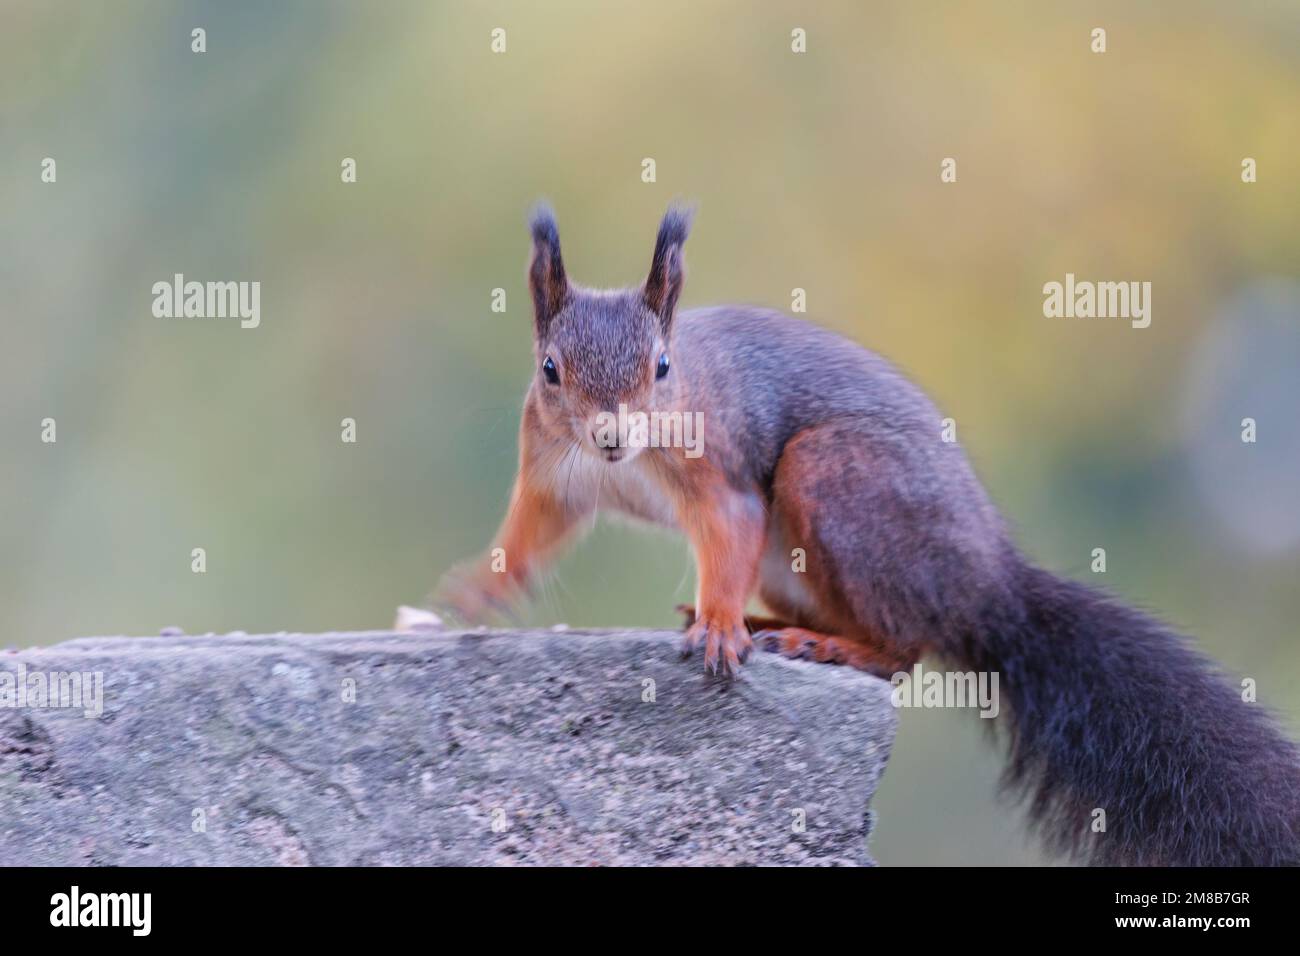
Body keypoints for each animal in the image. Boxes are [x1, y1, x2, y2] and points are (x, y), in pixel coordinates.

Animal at [440, 202, 1300, 867]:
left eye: (661, 368)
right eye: (551, 370)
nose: (614, 436)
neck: (615, 465)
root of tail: (991, 587)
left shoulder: (715, 463)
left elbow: (729, 528)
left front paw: (717, 622)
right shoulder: (552, 473)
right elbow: (535, 530)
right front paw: (482, 584)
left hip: (836, 477)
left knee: (904, 651)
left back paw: (821, 643)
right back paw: (775, 623)